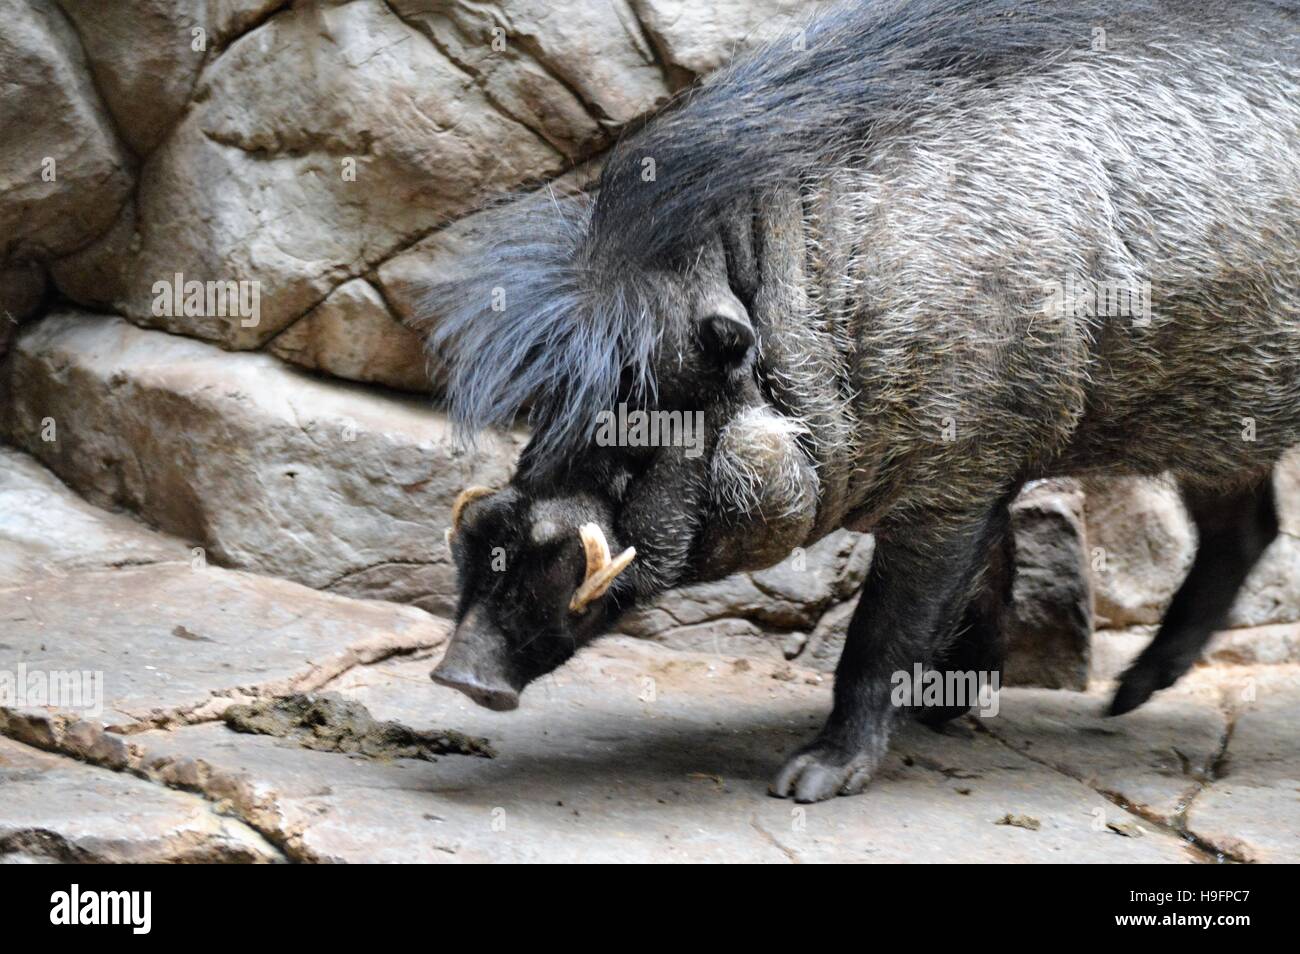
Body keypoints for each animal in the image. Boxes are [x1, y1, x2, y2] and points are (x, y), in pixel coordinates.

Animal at [418, 0, 1300, 801]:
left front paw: (806, 782)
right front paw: (947, 716)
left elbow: (884, 632)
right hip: (1221, 421)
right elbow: (988, 580)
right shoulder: (985, 471)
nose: (460, 675)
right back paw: (1124, 701)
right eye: (551, 415)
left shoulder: (956, 477)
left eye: (647, 420)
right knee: (1247, 527)